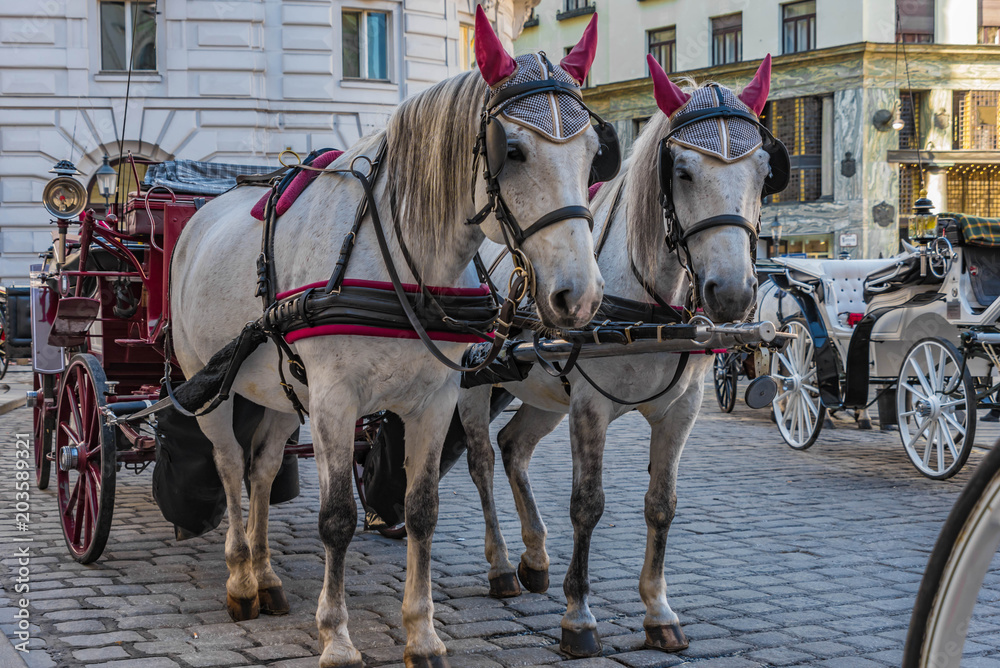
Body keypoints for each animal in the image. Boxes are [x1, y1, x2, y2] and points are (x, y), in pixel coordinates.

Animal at [169, 10, 608, 667]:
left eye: (594, 155)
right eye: (513, 150)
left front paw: (421, 634)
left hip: (281, 389)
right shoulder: (334, 400)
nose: (577, 295)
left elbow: (420, 512)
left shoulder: (434, 400)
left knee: (263, 468)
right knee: (227, 467)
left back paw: (268, 577)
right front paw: (337, 637)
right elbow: (336, 520)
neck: (403, 260)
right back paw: (242, 578)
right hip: (211, 384)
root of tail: (199, 215)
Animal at [456, 55, 781, 657]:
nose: (732, 293)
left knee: (514, 448)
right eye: (682, 171)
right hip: (473, 380)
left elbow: (662, 504)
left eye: (764, 168)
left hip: (542, 394)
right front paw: (579, 616)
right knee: (482, 459)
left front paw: (658, 610)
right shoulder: (590, 406)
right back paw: (501, 565)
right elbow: (588, 504)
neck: (648, 311)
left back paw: (534, 555)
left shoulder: (682, 408)